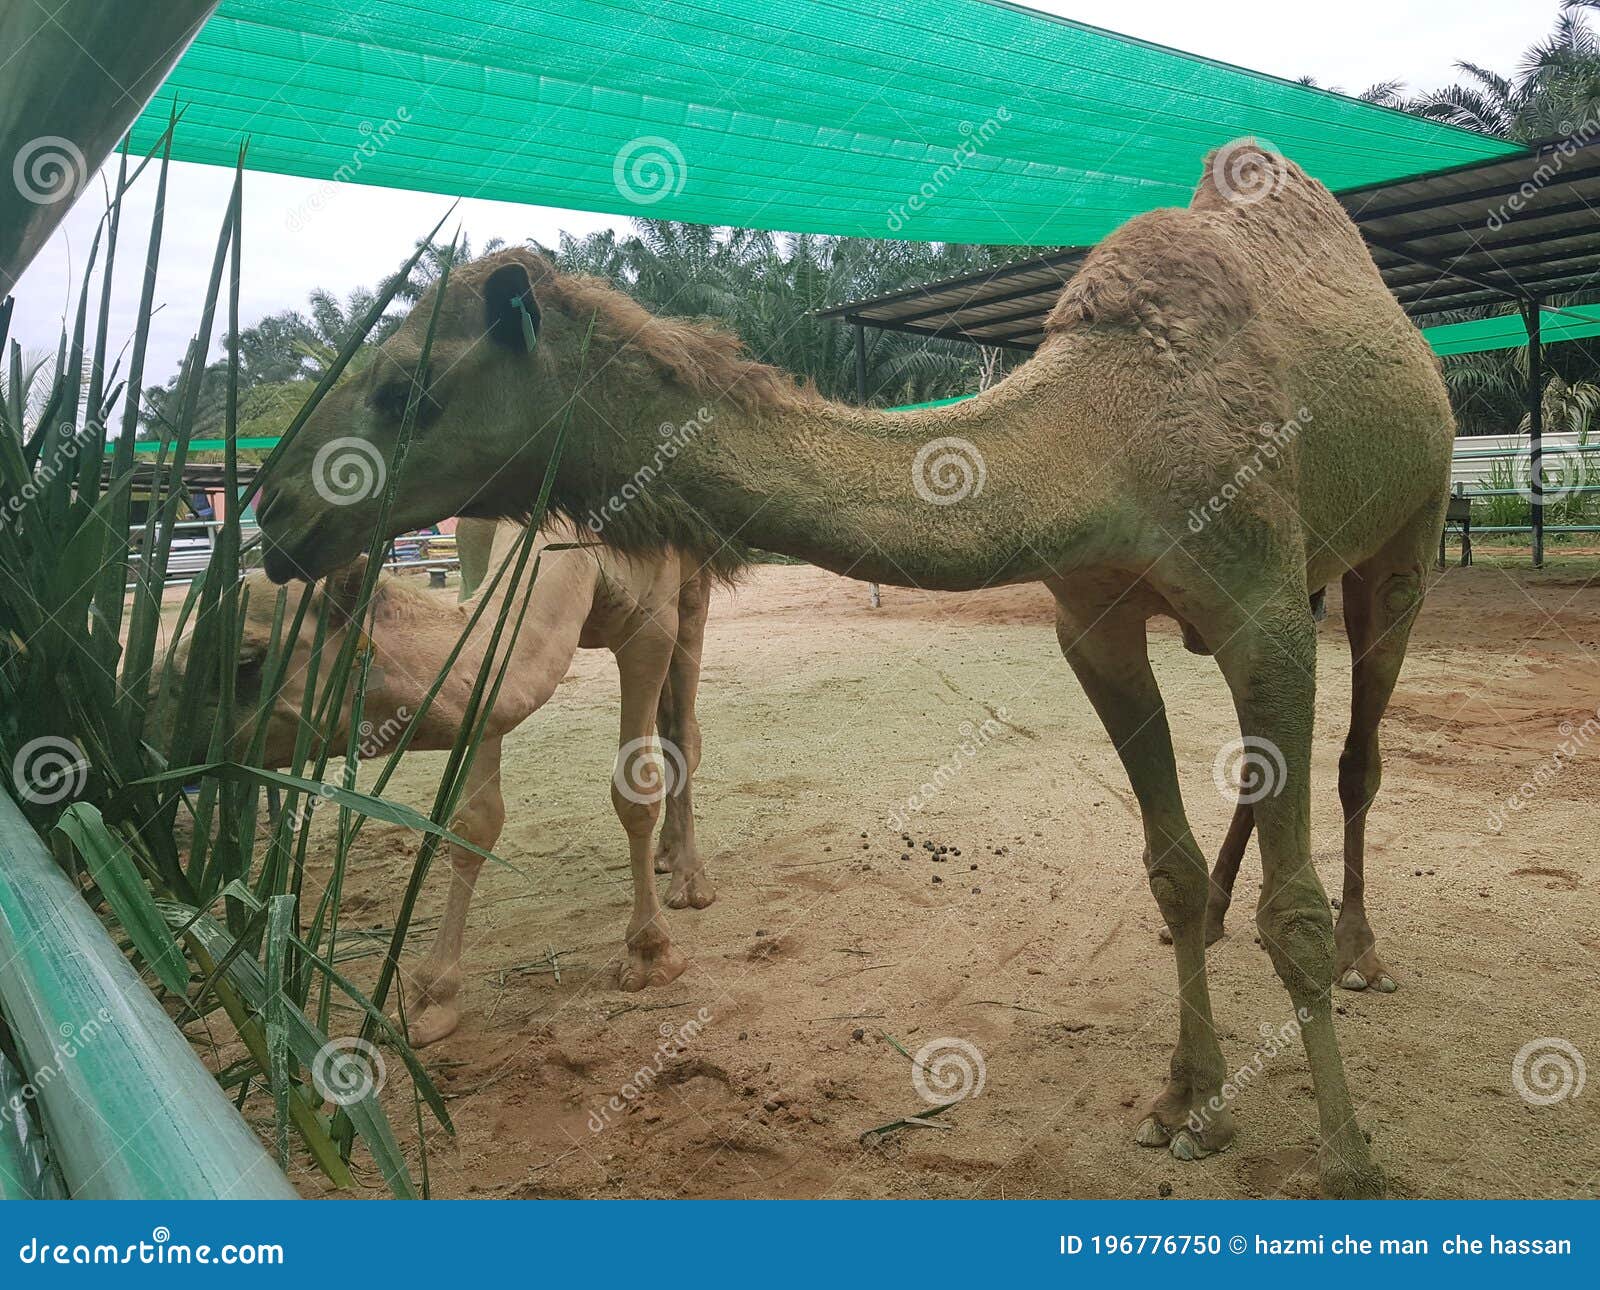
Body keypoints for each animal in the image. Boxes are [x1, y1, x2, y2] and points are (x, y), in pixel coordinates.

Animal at [202, 520, 715, 1044]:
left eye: (246, 659)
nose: (199, 741)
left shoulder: (651, 616)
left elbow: (635, 791)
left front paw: (650, 953)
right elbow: (475, 818)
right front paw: (432, 999)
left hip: (693, 587)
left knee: (682, 731)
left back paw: (690, 881)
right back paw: (666, 854)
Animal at [256, 143, 1454, 1198]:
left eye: (401, 387)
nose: (275, 507)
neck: (1103, 435)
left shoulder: (1260, 604)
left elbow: (1293, 908)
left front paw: (1348, 1159)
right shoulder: (1095, 621)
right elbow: (1161, 858)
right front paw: (1183, 1100)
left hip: (1402, 534)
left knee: (1357, 755)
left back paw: (1364, 953)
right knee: (1254, 791)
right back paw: (1215, 913)